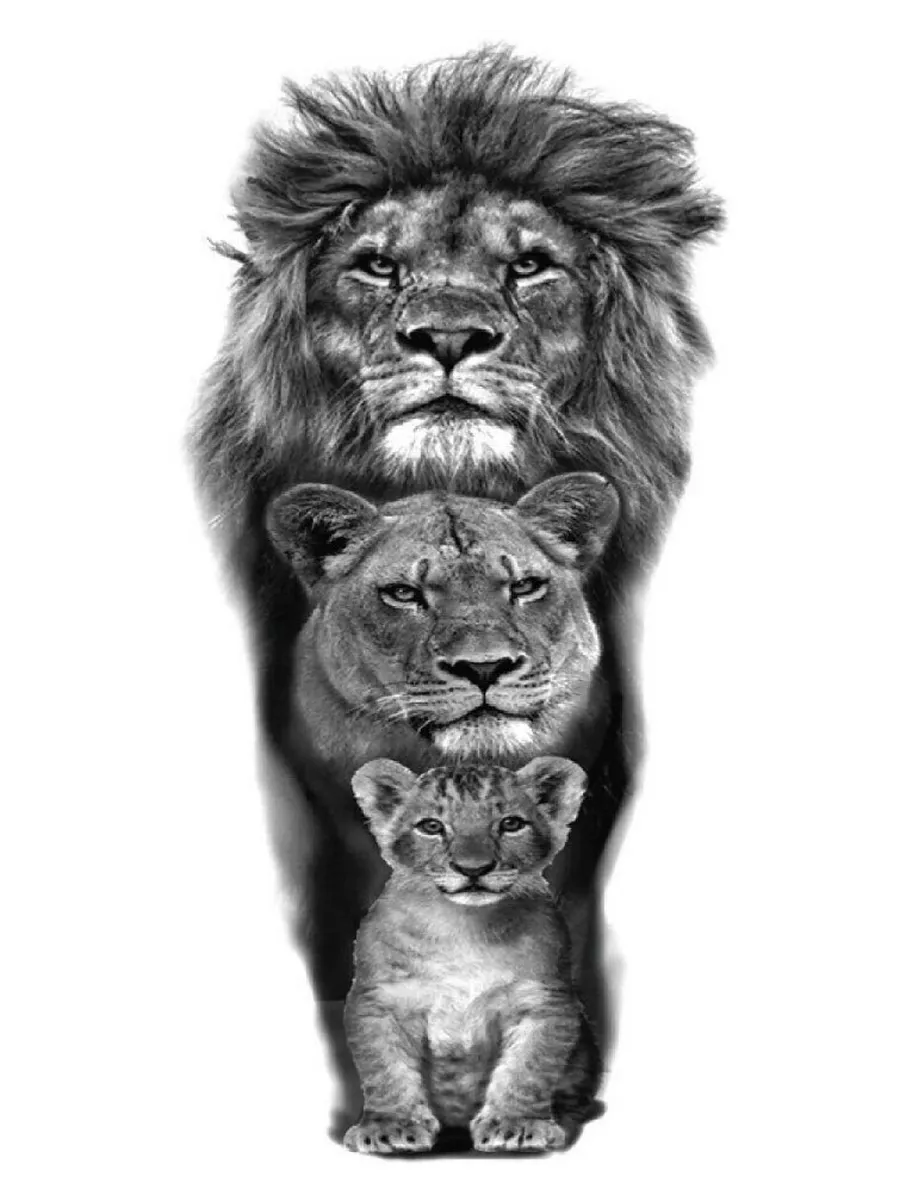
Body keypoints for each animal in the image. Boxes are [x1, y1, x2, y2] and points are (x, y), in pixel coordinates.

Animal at [344, 756, 598, 1154]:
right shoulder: (380, 1001)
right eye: (431, 826)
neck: (464, 926)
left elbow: (528, 1069)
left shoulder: (544, 1002)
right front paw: (391, 1126)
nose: (473, 869)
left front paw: (516, 1125)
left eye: (511, 824)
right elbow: (385, 1069)